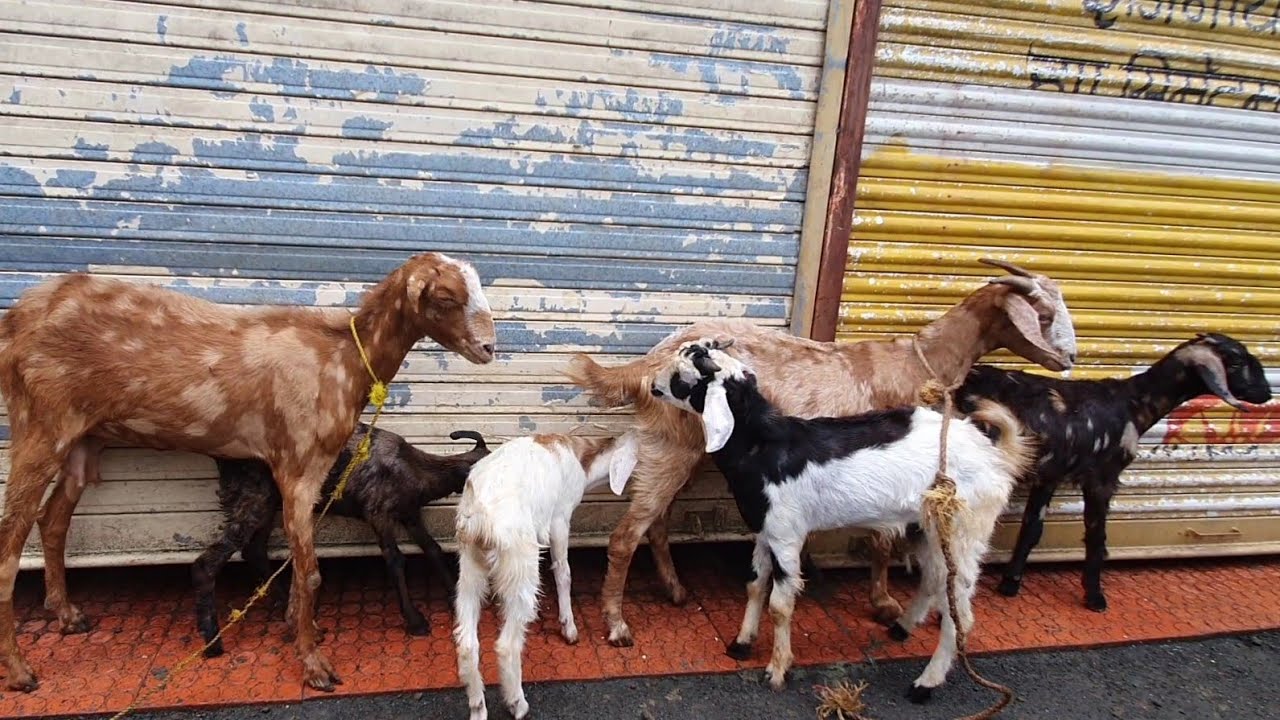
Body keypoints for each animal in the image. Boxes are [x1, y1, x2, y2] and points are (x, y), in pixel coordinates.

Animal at [195, 424, 491, 657]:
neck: (414, 468)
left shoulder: (409, 514)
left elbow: (432, 548)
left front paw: (454, 593)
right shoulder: (378, 513)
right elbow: (396, 561)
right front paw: (415, 620)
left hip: (268, 501)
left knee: (254, 550)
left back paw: (284, 606)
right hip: (252, 498)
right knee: (206, 563)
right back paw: (212, 641)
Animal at [453, 432, 639, 720]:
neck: (582, 458)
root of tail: (480, 519)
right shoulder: (560, 518)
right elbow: (563, 570)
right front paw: (569, 628)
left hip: (470, 572)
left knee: (467, 646)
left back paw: (478, 709)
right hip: (521, 567)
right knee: (507, 645)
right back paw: (518, 704)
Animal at [564, 258, 1076, 645]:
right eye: (1042, 313)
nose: (1070, 359)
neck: (920, 363)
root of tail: (647, 364)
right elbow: (884, 539)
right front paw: (885, 604)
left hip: (687, 447)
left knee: (658, 521)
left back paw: (674, 590)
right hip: (673, 443)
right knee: (626, 534)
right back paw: (617, 625)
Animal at [649, 339, 1031, 700]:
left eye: (682, 378)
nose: (652, 385)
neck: (763, 445)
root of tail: (996, 456)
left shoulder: (787, 535)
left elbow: (780, 606)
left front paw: (777, 669)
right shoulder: (764, 532)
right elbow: (755, 585)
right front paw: (741, 644)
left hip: (965, 532)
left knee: (959, 614)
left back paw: (925, 684)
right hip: (927, 529)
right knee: (934, 580)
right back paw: (902, 628)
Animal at [950, 332, 1273, 612]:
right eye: (1235, 361)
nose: (1267, 393)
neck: (1133, 403)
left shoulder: (1050, 474)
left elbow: (1032, 529)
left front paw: (1010, 584)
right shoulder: (1102, 477)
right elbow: (1097, 537)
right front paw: (1095, 597)